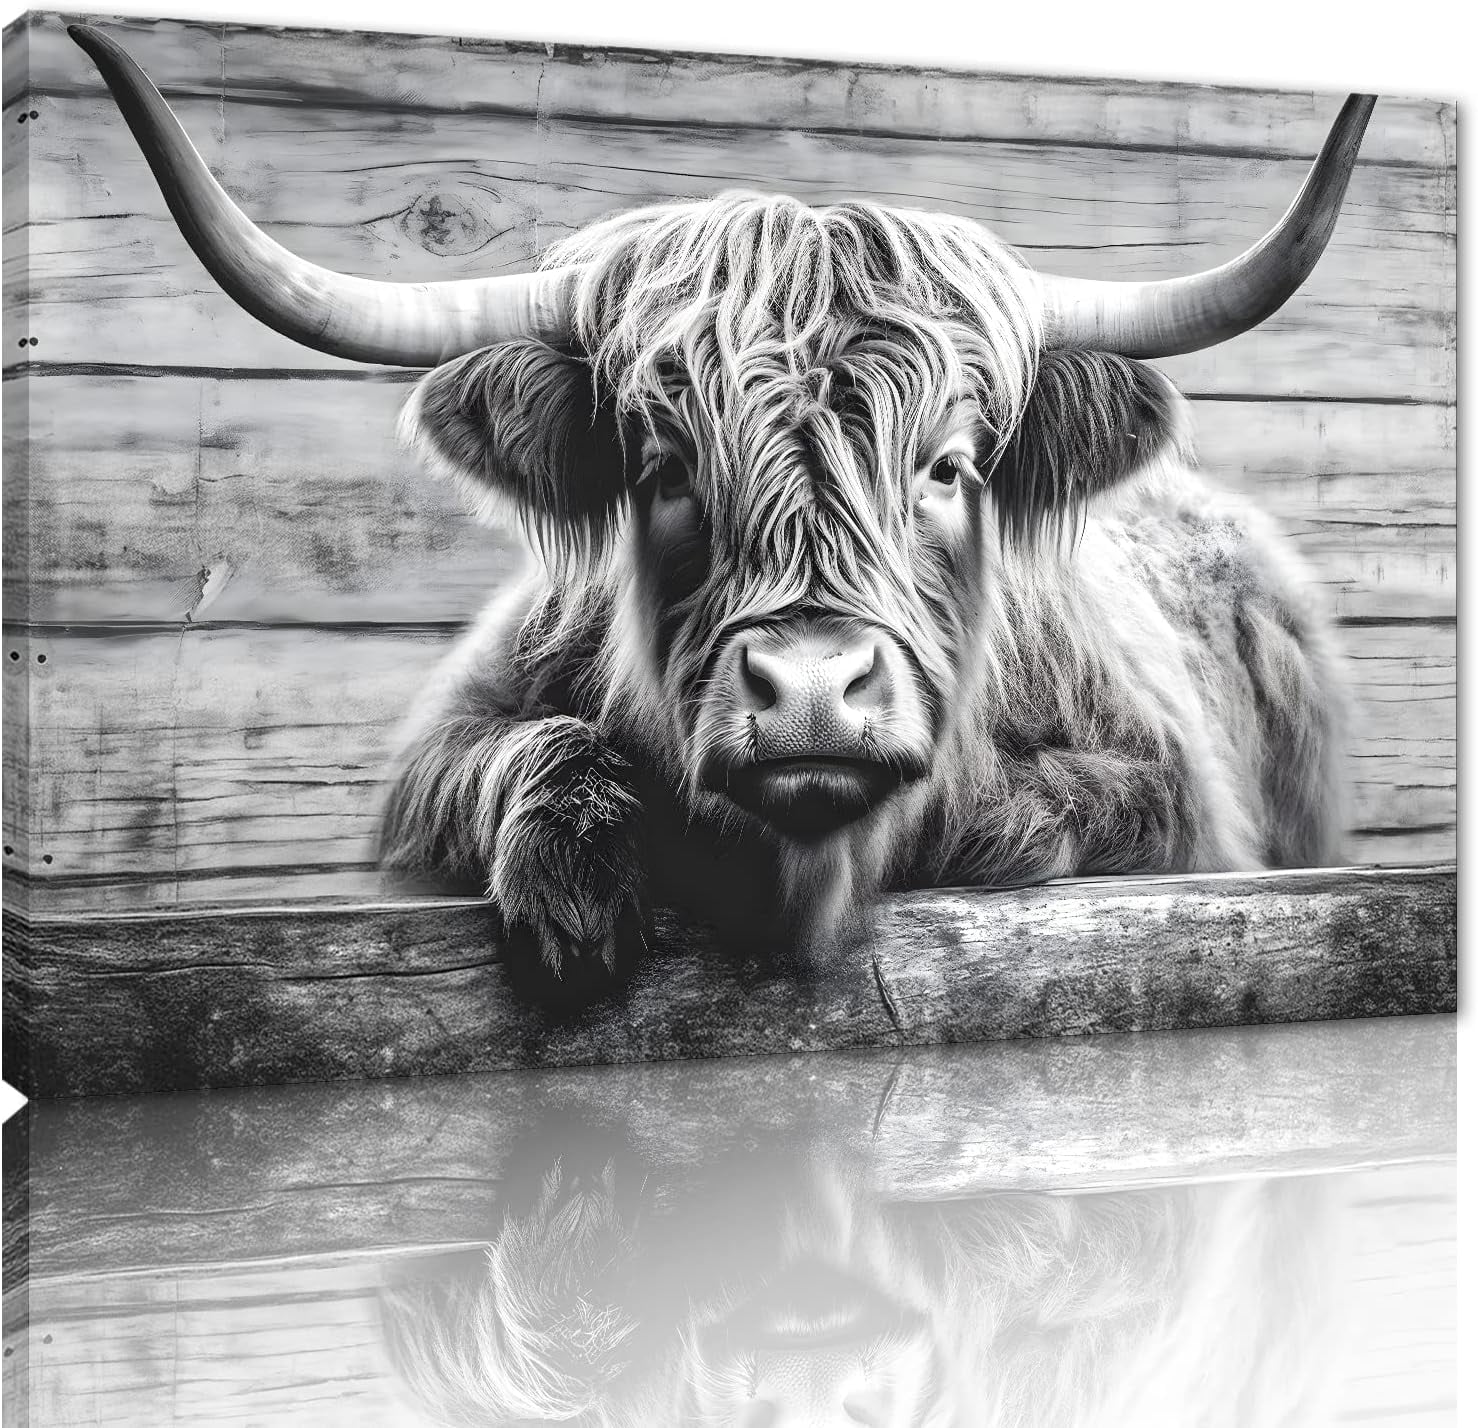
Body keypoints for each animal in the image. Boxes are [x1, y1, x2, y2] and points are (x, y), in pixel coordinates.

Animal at [75, 26, 1369, 988]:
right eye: (662, 466)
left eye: (945, 467)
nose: (812, 692)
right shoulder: (435, 766)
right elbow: (523, 751)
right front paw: (578, 885)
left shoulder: (1168, 796)